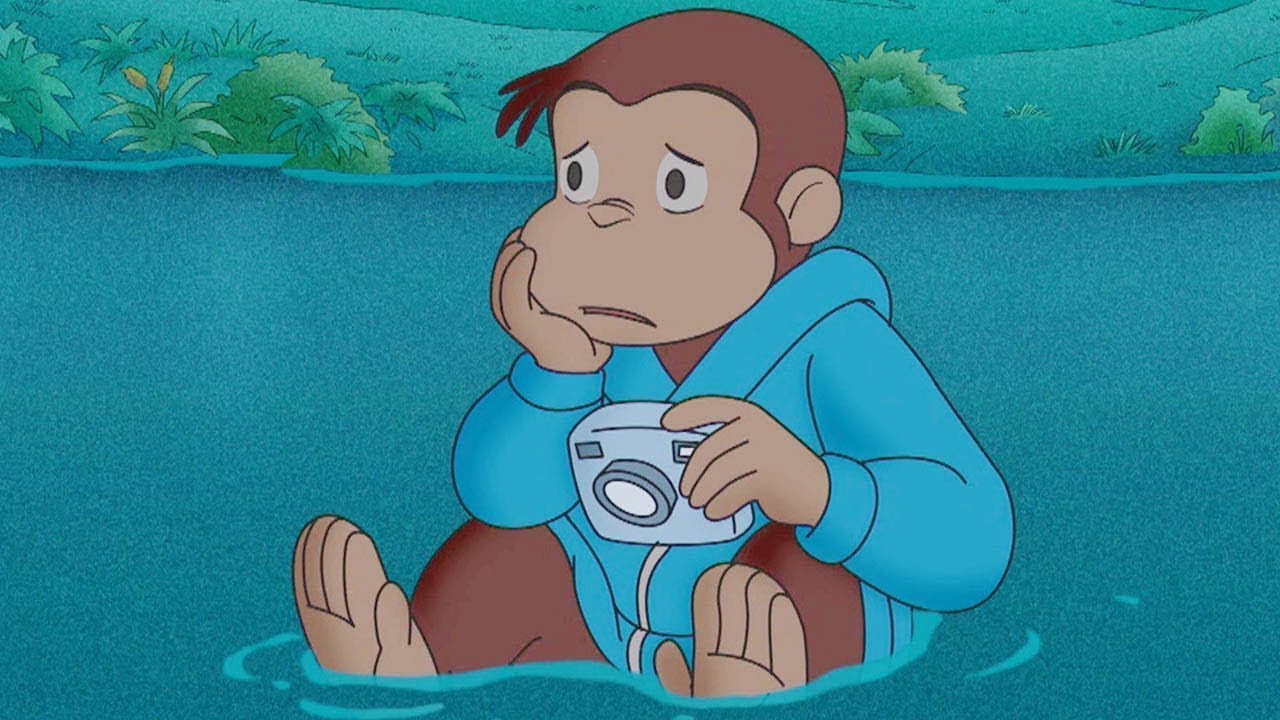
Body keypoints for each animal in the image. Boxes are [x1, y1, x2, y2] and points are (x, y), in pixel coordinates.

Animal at [292, 10, 1013, 698]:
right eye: (576, 175)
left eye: (676, 184)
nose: (603, 214)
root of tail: (655, 669)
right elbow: (496, 478)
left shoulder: (857, 346)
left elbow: (967, 508)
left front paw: (765, 456)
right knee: (520, 540)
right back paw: (362, 630)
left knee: (797, 552)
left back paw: (746, 652)